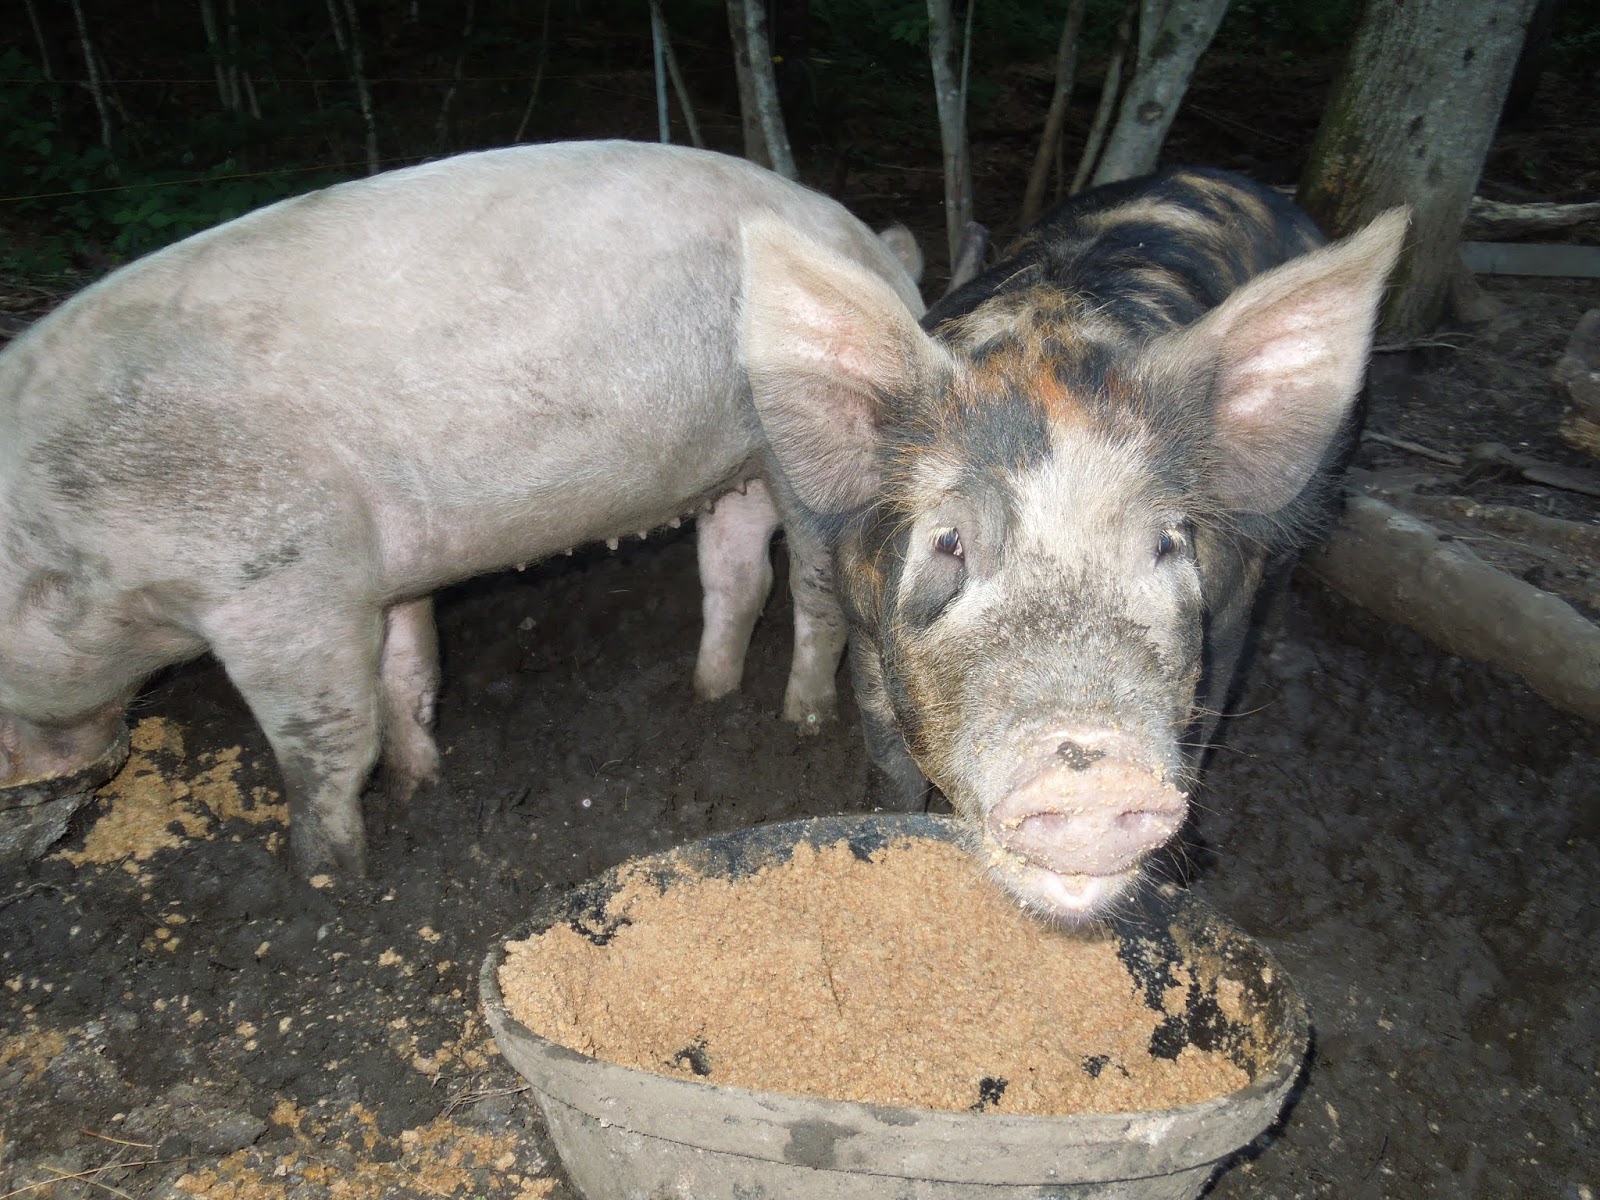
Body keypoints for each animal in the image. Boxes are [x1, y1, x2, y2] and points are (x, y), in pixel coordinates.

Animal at [0, 140, 924, 875]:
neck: (74, 535)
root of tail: (868, 246)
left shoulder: (282, 580)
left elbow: (326, 743)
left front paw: (325, 879)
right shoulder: (380, 578)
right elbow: (409, 676)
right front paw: (420, 787)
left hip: (810, 445)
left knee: (814, 588)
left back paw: (800, 720)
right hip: (737, 457)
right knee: (735, 571)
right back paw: (708, 698)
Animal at [740, 168, 1407, 921]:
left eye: (1166, 542)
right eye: (950, 541)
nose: (1092, 769)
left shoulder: (1230, 606)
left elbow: (1205, 726)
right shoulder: (864, 629)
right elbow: (891, 767)